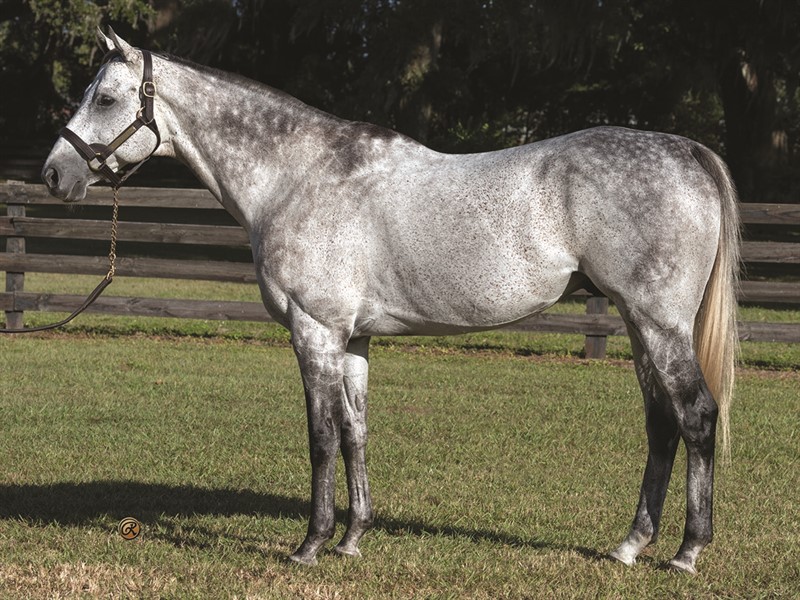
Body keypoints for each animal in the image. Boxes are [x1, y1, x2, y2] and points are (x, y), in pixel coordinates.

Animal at [41, 29, 739, 574]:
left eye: (106, 98)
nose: (54, 175)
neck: (297, 176)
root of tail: (687, 151)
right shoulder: (353, 337)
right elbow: (356, 430)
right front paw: (352, 538)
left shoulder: (314, 329)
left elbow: (321, 434)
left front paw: (310, 545)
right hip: (638, 323)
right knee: (661, 423)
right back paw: (630, 546)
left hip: (659, 323)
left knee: (697, 416)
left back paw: (686, 552)